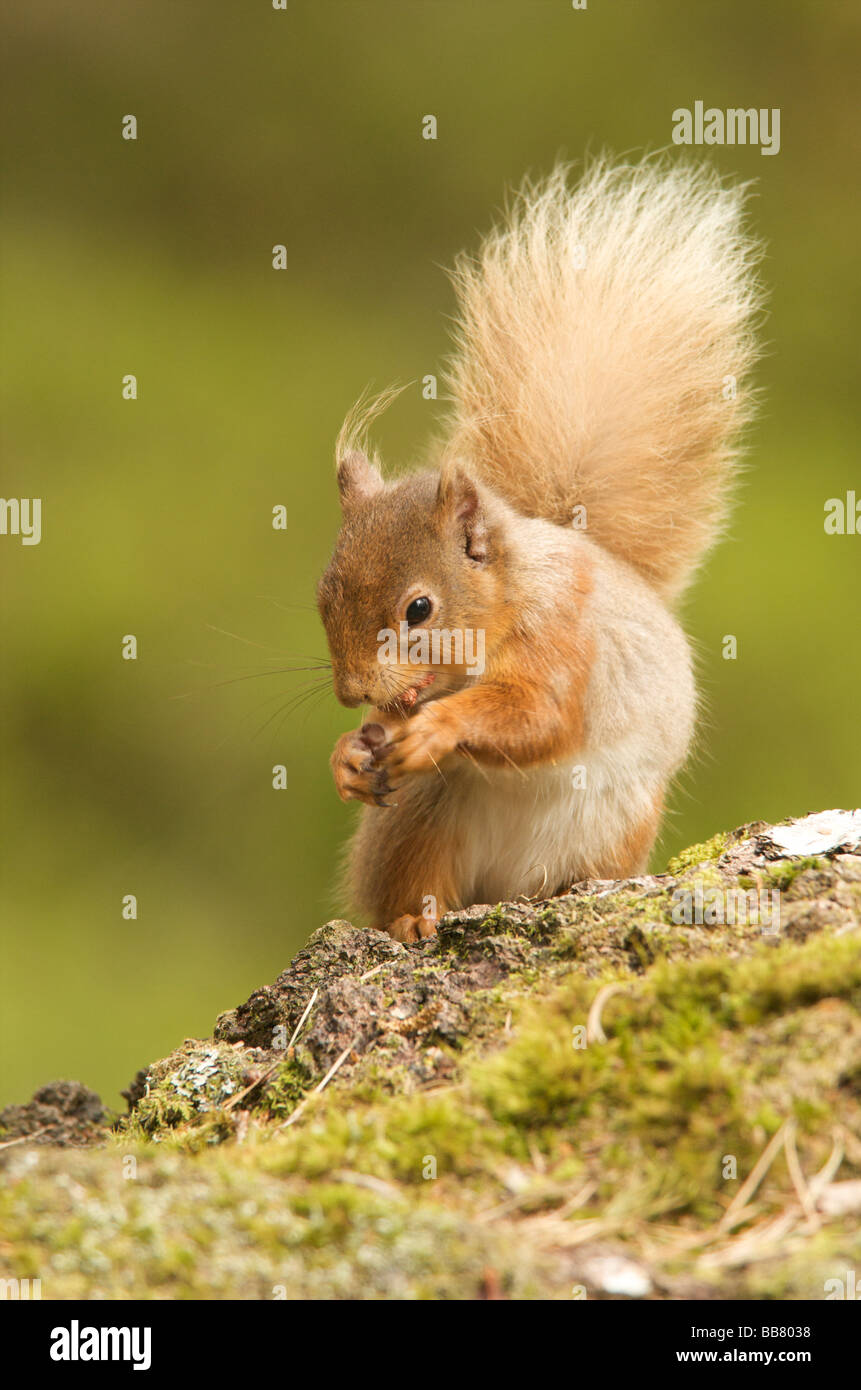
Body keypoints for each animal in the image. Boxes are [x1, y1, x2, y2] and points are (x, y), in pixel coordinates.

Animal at [317, 156, 763, 943]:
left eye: (419, 609)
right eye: (321, 598)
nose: (352, 692)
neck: (511, 590)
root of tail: (506, 887)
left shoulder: (564, 641)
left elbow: (539, 717)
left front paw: (440, 728)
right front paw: (349, 755)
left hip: (610, 824)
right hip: (419, 818)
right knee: (420, 884)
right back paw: (412, 922)